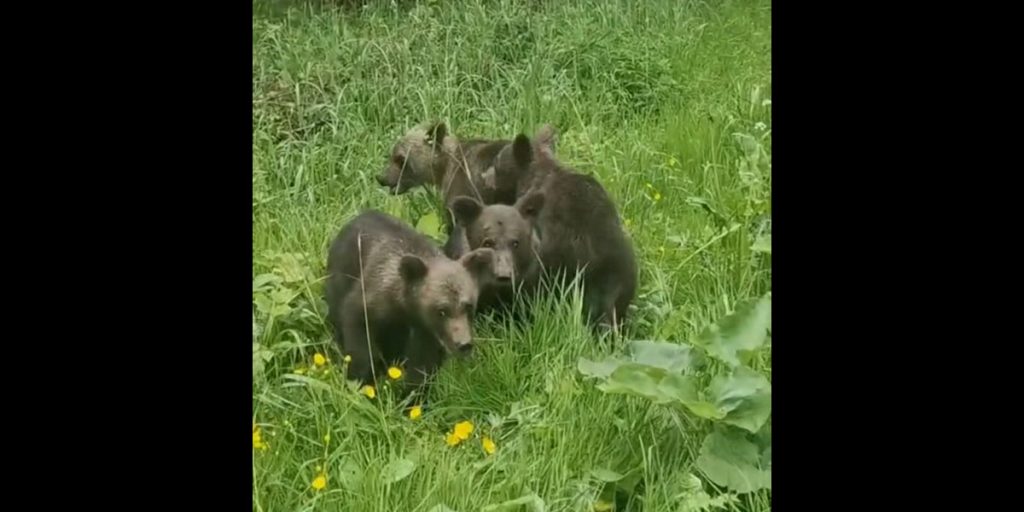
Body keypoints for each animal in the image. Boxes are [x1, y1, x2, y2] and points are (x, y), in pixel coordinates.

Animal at [325, 210, 495, 395]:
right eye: (442, 310)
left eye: (468, 306)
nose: (463, 344)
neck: (406, 305)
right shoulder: (369, 303)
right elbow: (360, 342)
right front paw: (361, 381)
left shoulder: (425, 332)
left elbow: (422, 366)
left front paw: (412, 395)